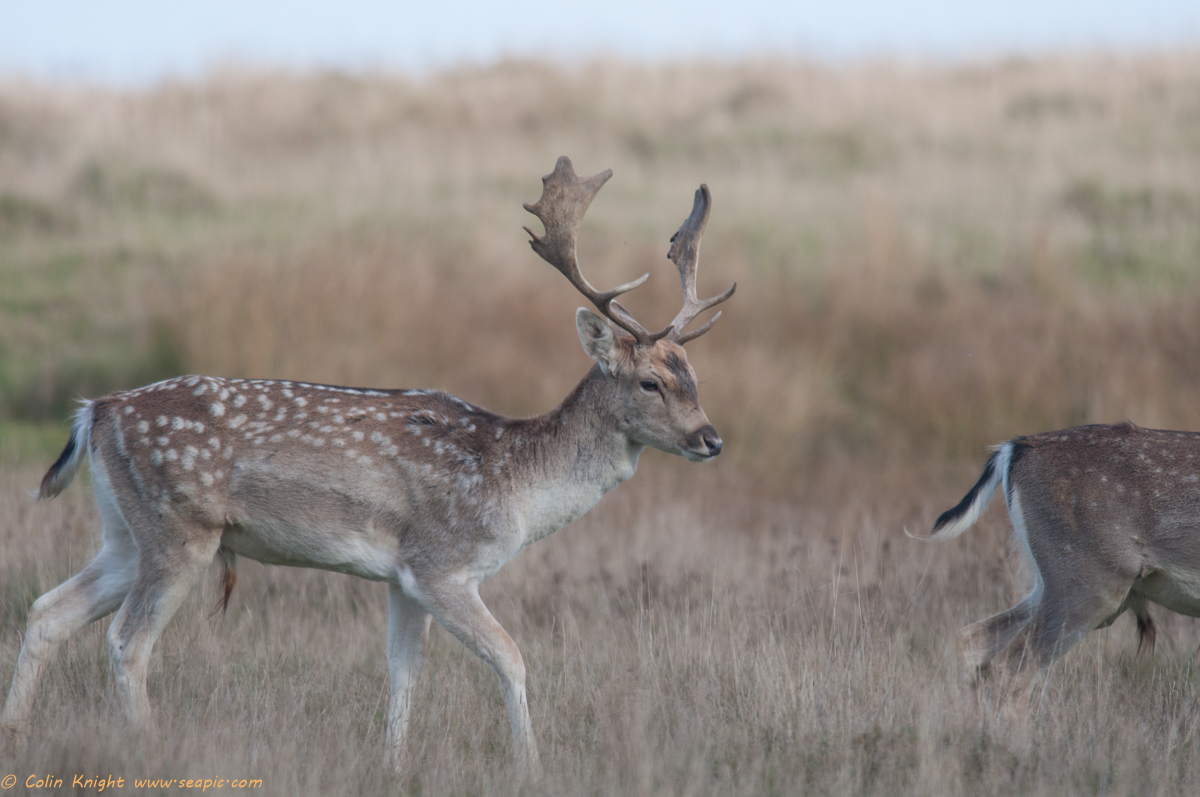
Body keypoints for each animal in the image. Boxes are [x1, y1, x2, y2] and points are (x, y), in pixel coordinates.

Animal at [1, 157, 735, 775]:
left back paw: (17, 737)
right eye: (650, 383)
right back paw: (150, 749)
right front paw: (532, 766)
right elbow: (513, 657)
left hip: (124, 530)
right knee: (127, 642)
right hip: (179, 527)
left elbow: (404, 671)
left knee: (48, 609)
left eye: (693, 375)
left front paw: (393, 764)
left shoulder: (403, 577)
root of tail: (96, 410)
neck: (513, 481)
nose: (711, 439)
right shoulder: (442, 563)